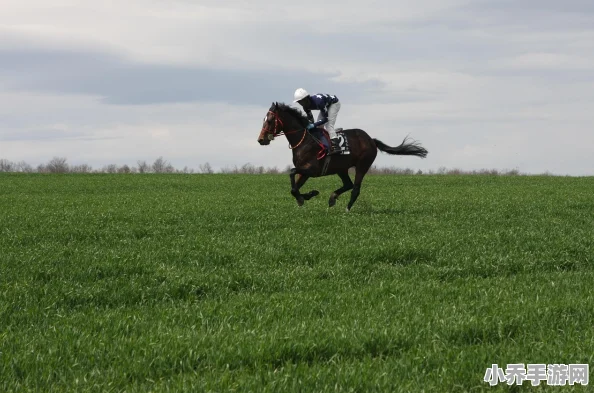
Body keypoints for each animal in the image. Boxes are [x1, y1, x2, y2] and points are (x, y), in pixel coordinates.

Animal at [256, 102, 426, 211]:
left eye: (270, 120)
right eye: (263, 120)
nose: (261, 139)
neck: (305, 140)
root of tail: (371, 139)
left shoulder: (312, 170)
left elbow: (291, 173)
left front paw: (305, 196)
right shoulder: (304, 171)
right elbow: (294, 188)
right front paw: (307, 195)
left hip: (362, 165)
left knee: (355, 188)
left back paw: (347, 209)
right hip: (341, 168)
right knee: (348, 184)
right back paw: (333, 198)